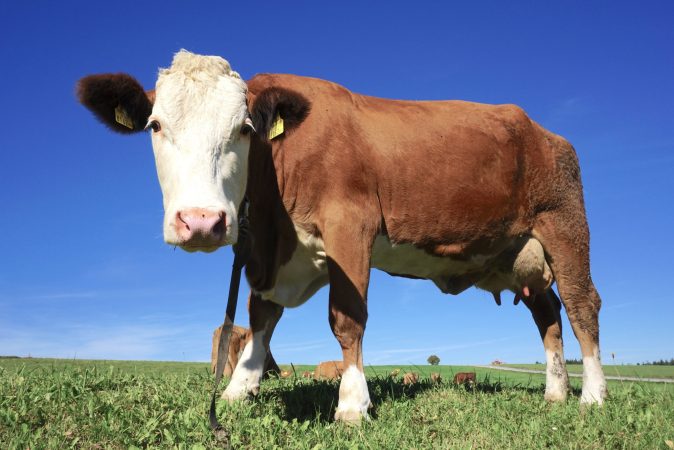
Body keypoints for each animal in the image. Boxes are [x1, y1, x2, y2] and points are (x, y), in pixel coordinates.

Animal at [77, 50, 607, 423]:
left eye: (243, 129)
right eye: (155, 125)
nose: (202, 221)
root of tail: (545, 132)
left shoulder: (350, 225)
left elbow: (346, 319)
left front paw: (352, 403)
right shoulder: (271, 255)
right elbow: (260, 318)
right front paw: (236, 391)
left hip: (564, 225)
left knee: (582, 306)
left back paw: (593, 396)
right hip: (517, 253)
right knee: (548, 315)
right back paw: (555, 393)